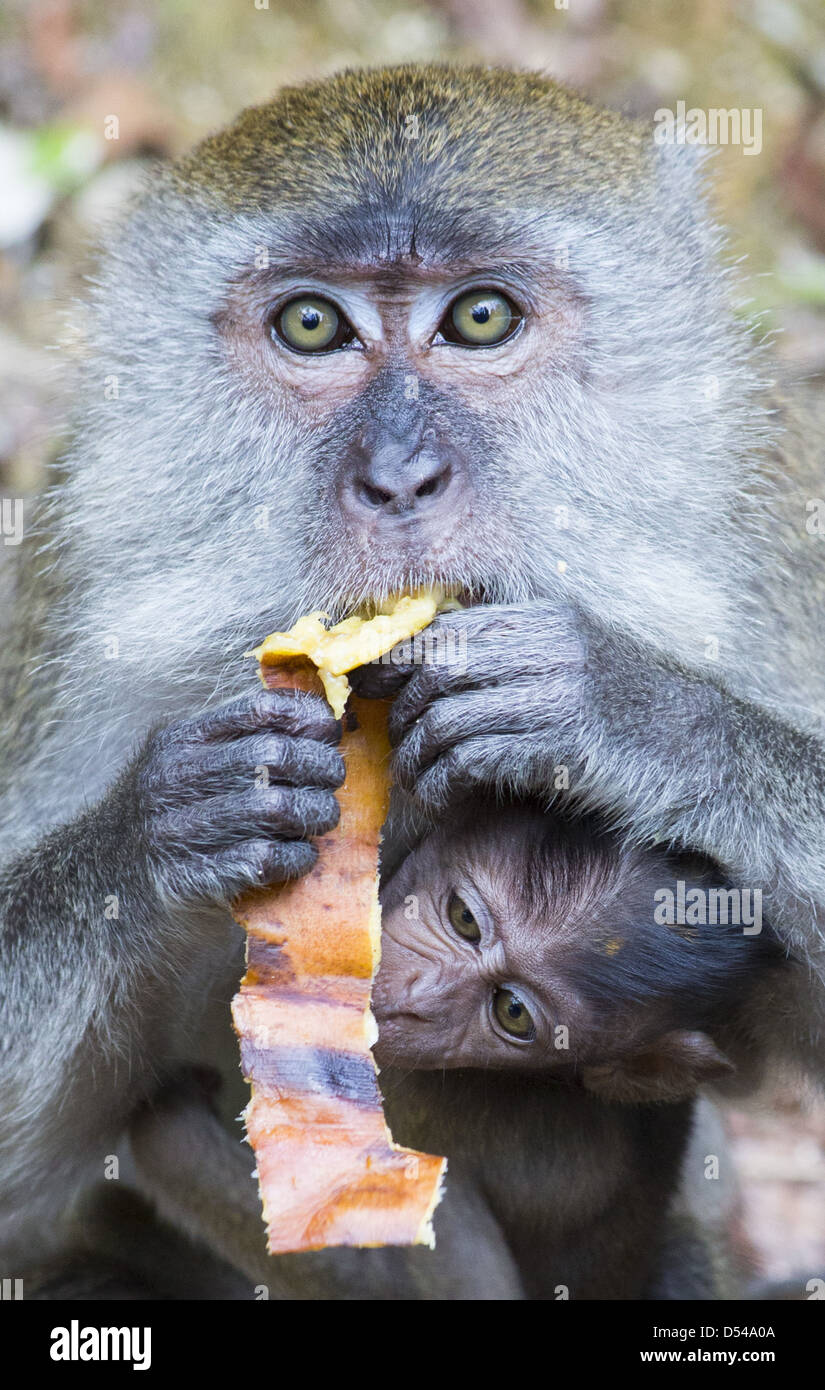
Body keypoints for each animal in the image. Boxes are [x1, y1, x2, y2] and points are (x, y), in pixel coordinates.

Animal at [0, 64, 822, 1295]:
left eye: (480, 317)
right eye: (312, 324)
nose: (397, 478)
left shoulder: (762, 574)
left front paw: (621, 710)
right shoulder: (78, 617)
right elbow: (30, 1175)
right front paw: (165, 826)